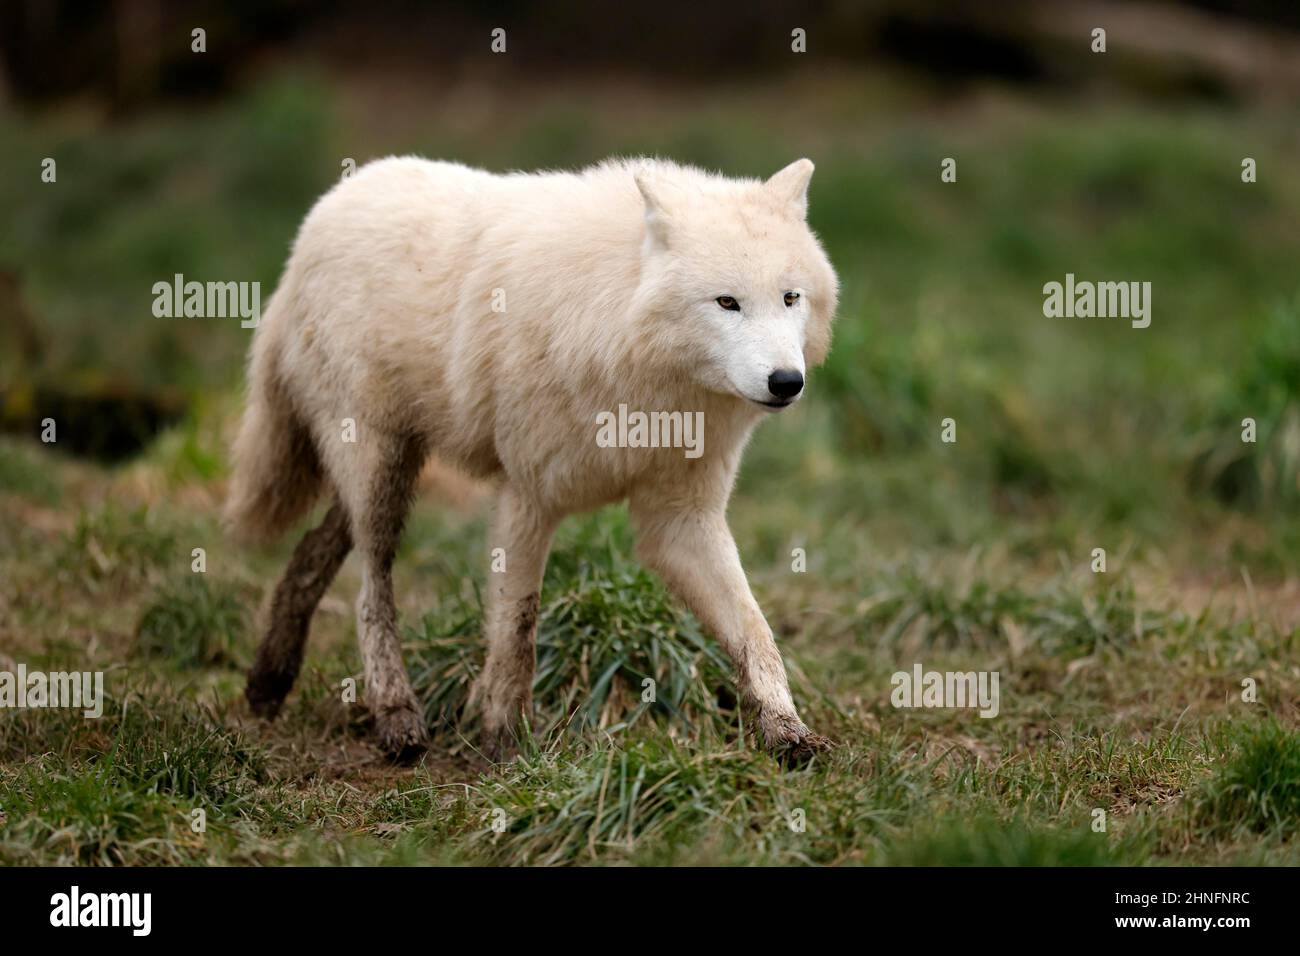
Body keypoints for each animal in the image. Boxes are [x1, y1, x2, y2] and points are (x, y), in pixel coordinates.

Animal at [226, 156, 839, 761]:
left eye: (790, 298)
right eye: (727, 302)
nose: (786, 382)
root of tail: (318, 218)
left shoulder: (682, 520)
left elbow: (755, 630)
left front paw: (787, 731)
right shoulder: (527, 496)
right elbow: (517, 626)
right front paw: (504, 741)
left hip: (388, 475)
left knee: (312, 553)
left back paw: (268, 682)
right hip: (380, 472)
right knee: (370, 590)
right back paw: (396, 714)